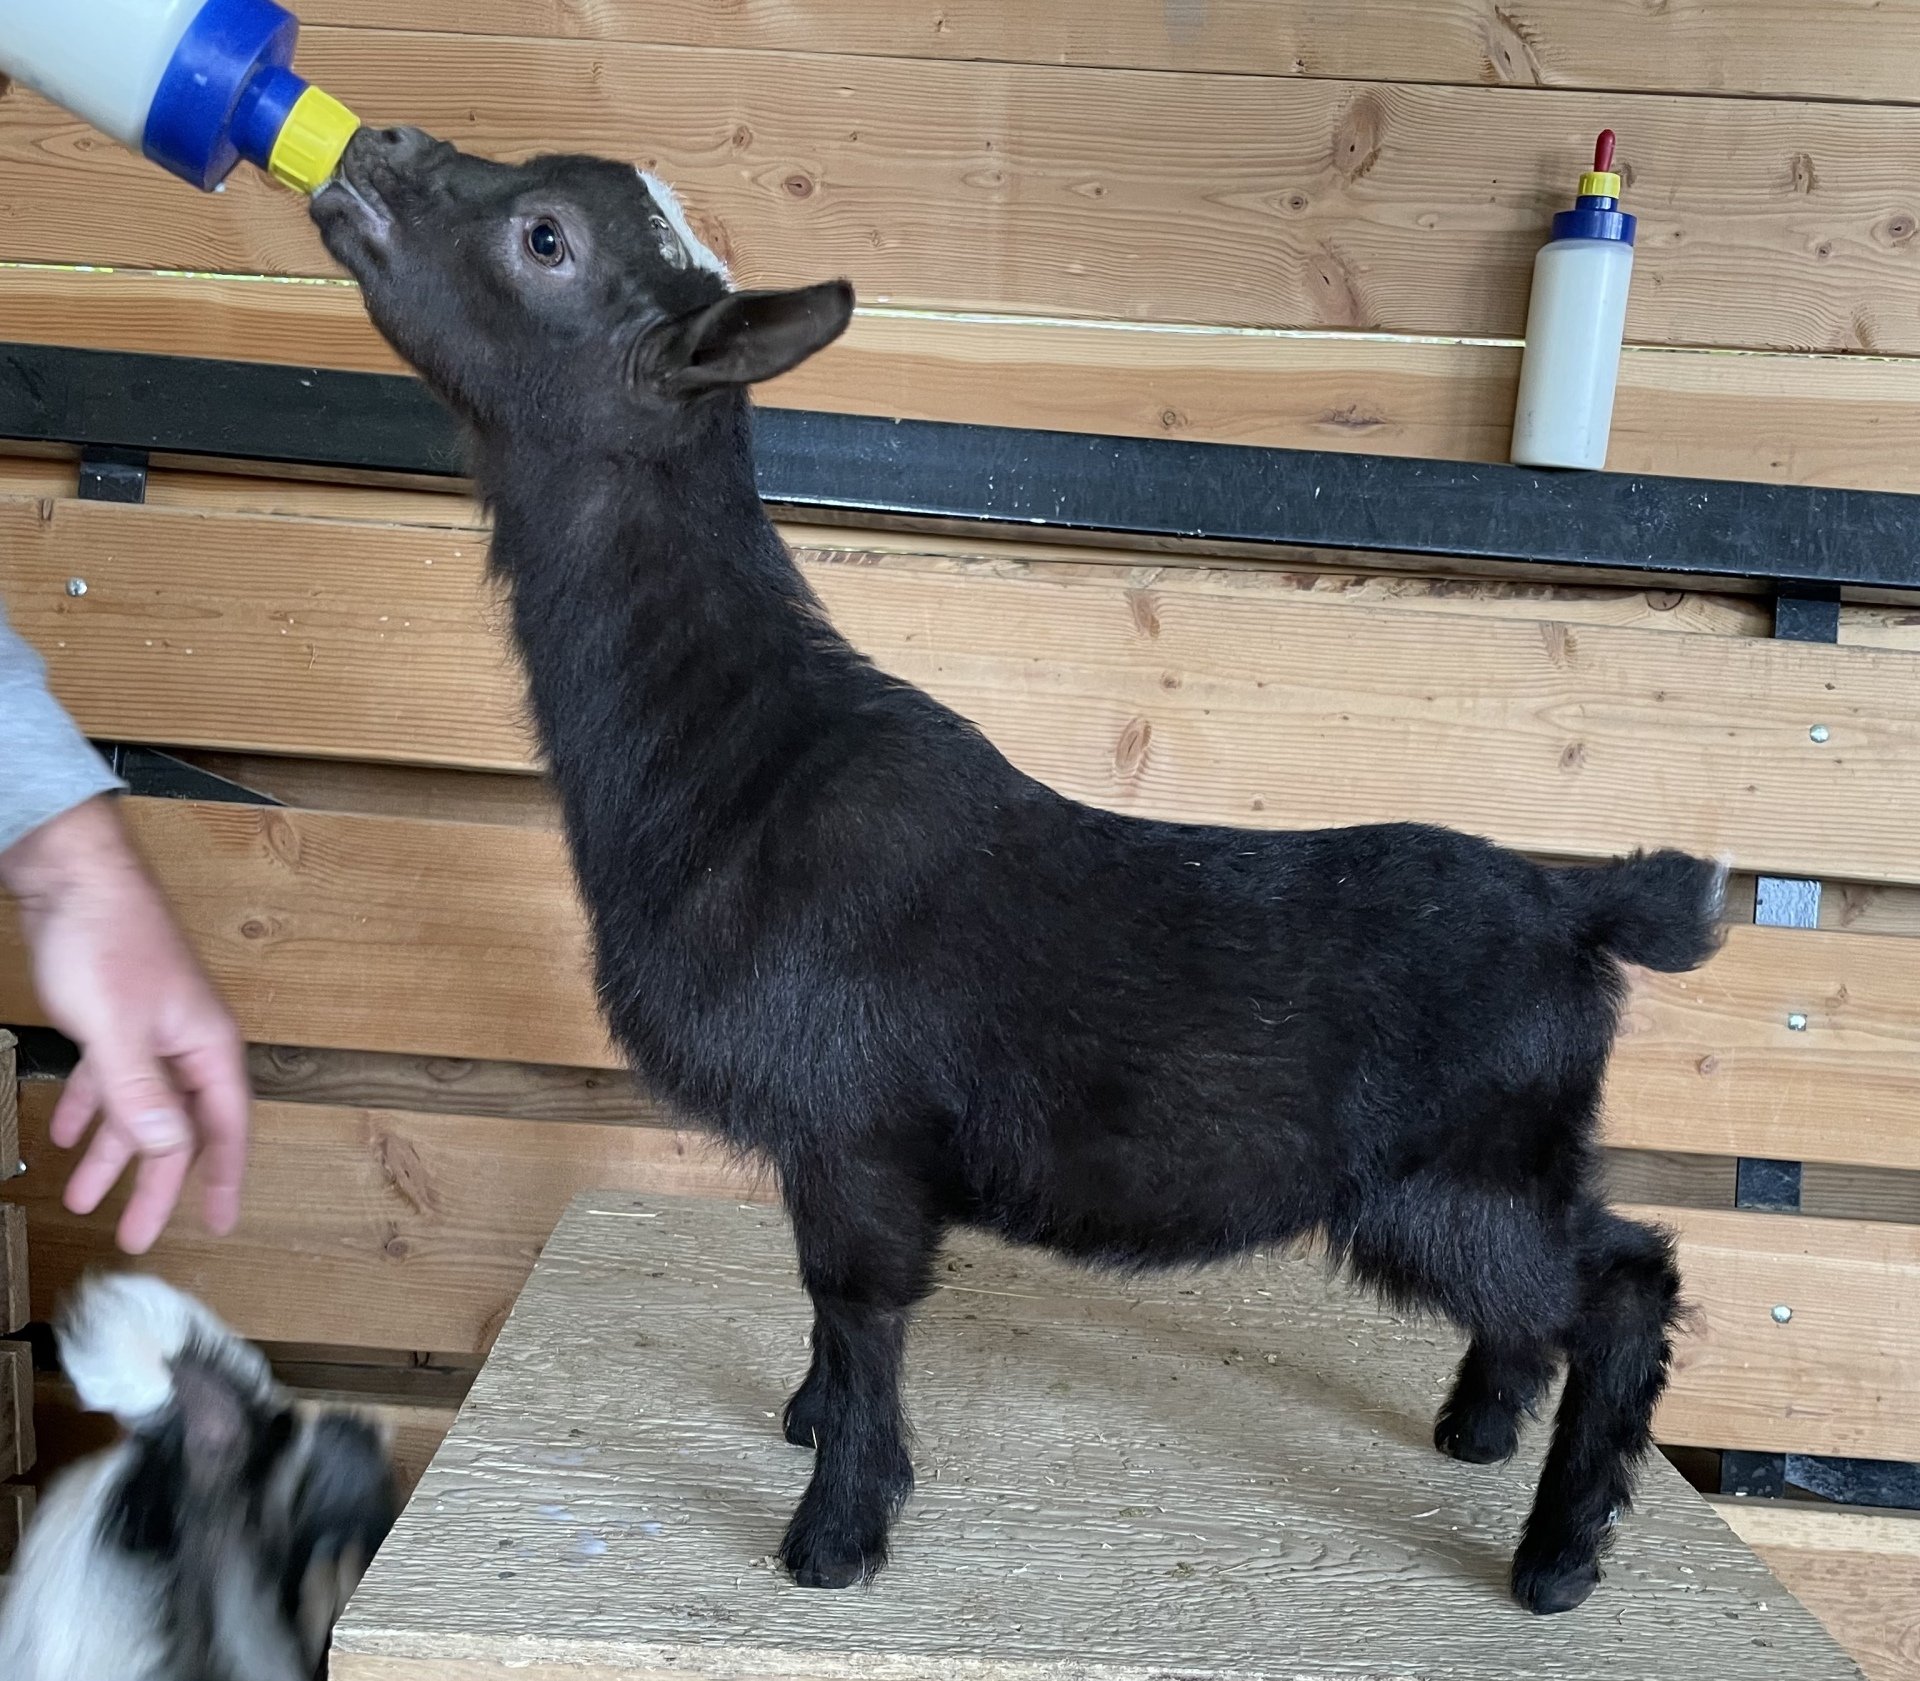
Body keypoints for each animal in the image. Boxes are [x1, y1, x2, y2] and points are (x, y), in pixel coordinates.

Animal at [312, 127, 1726, 1616]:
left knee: (1627, 1284)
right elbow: (828, 1310)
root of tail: (1582, 904)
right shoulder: (831, 1141)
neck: (743, 752)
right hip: (1508, 1165)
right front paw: (808, 1424)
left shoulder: (855, 1127)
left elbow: (861, 1305)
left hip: (1460, 1174)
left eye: (544, 240)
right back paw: (1480, 1426)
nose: (377, 146)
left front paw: (835, 1535)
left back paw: (1558, 1555)